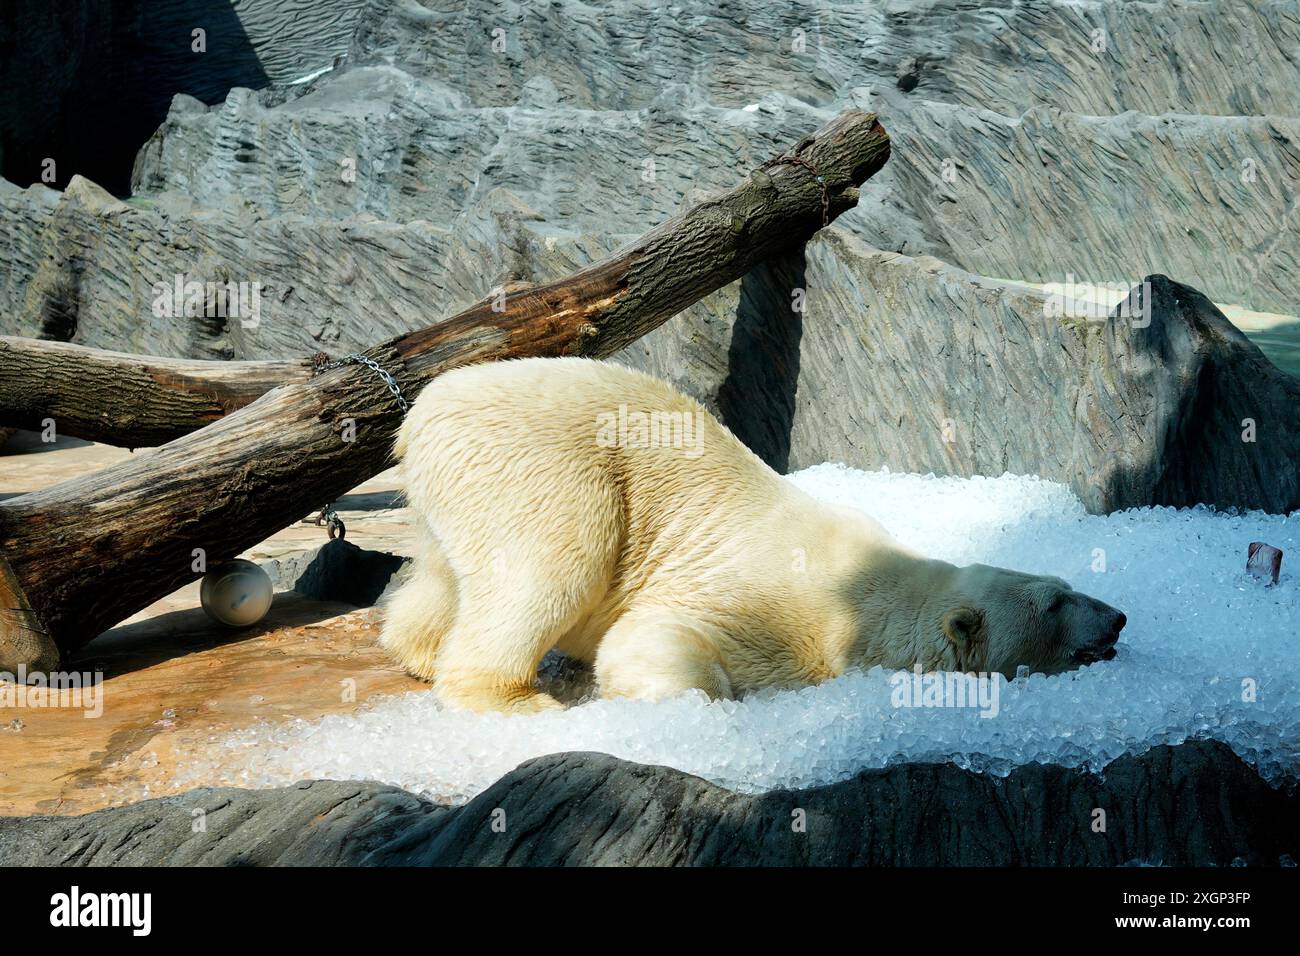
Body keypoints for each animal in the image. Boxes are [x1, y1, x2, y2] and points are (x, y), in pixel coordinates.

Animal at [381, 356, 1127, 713]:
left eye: (1068, 585)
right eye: (1055, 604)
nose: (1118, 617)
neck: (868, 591)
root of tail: (423, 411)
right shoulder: (779, 609)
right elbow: (655, 635)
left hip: (463, 485)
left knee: (453, 573)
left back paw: (420, 651)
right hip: (543, 464)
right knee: (551, 567)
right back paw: (515, 698)